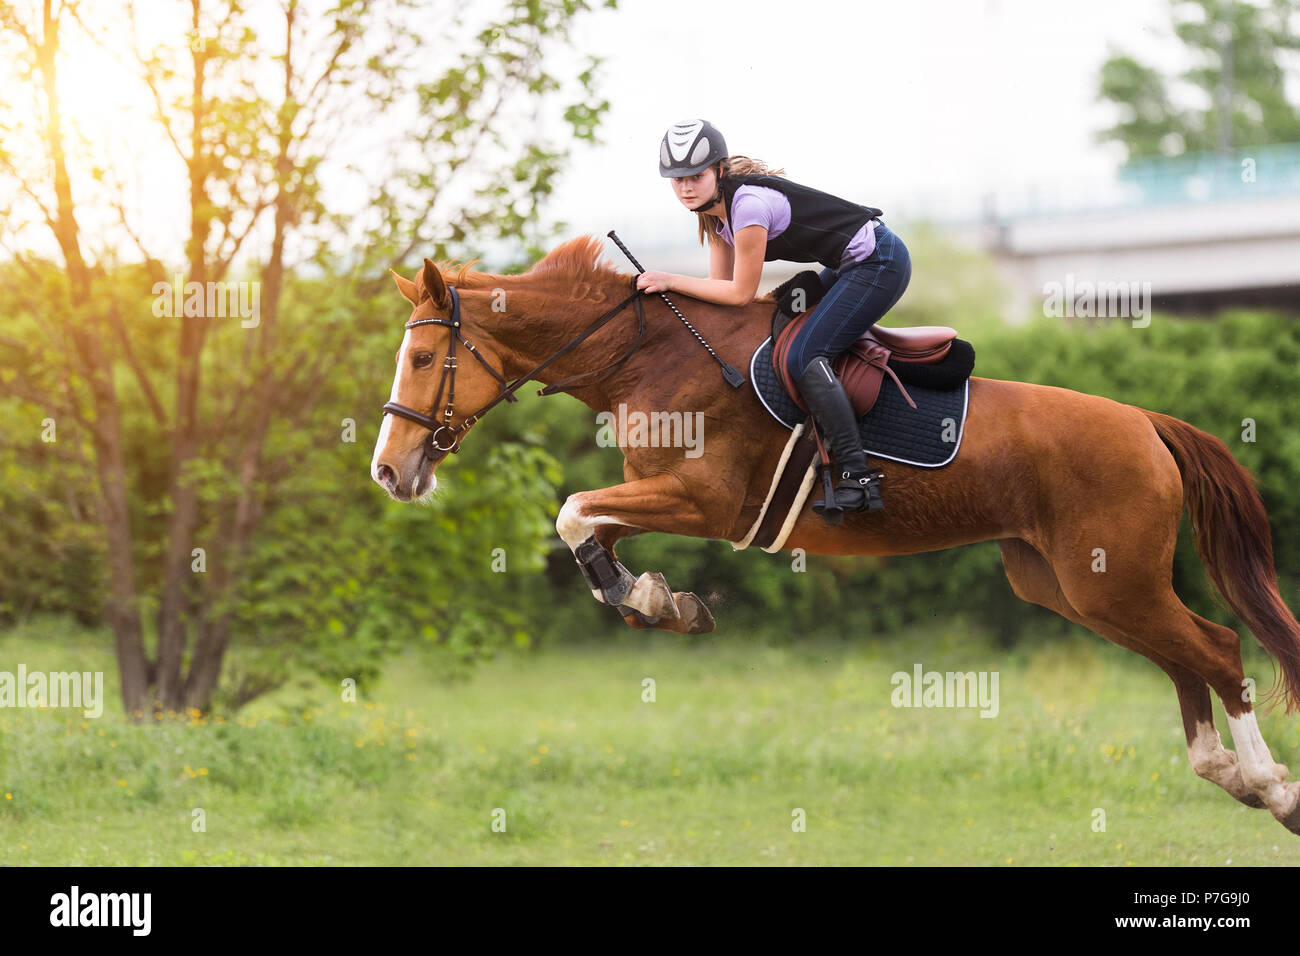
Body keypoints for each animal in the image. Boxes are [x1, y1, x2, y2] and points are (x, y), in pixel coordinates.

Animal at [370, 235, 1300, 836]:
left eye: (420, 360)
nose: (388, 471)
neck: (644, 354)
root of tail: (1146, 422)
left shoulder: (703, 502)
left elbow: (572, 509)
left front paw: (652, 599)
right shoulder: (660, 494)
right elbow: (584, 522)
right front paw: (656, 600)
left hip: (1112, 581)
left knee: (1217, 649)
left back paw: (1269, 787)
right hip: (1075, 586)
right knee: (1185, 656)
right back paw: (1228, 774)